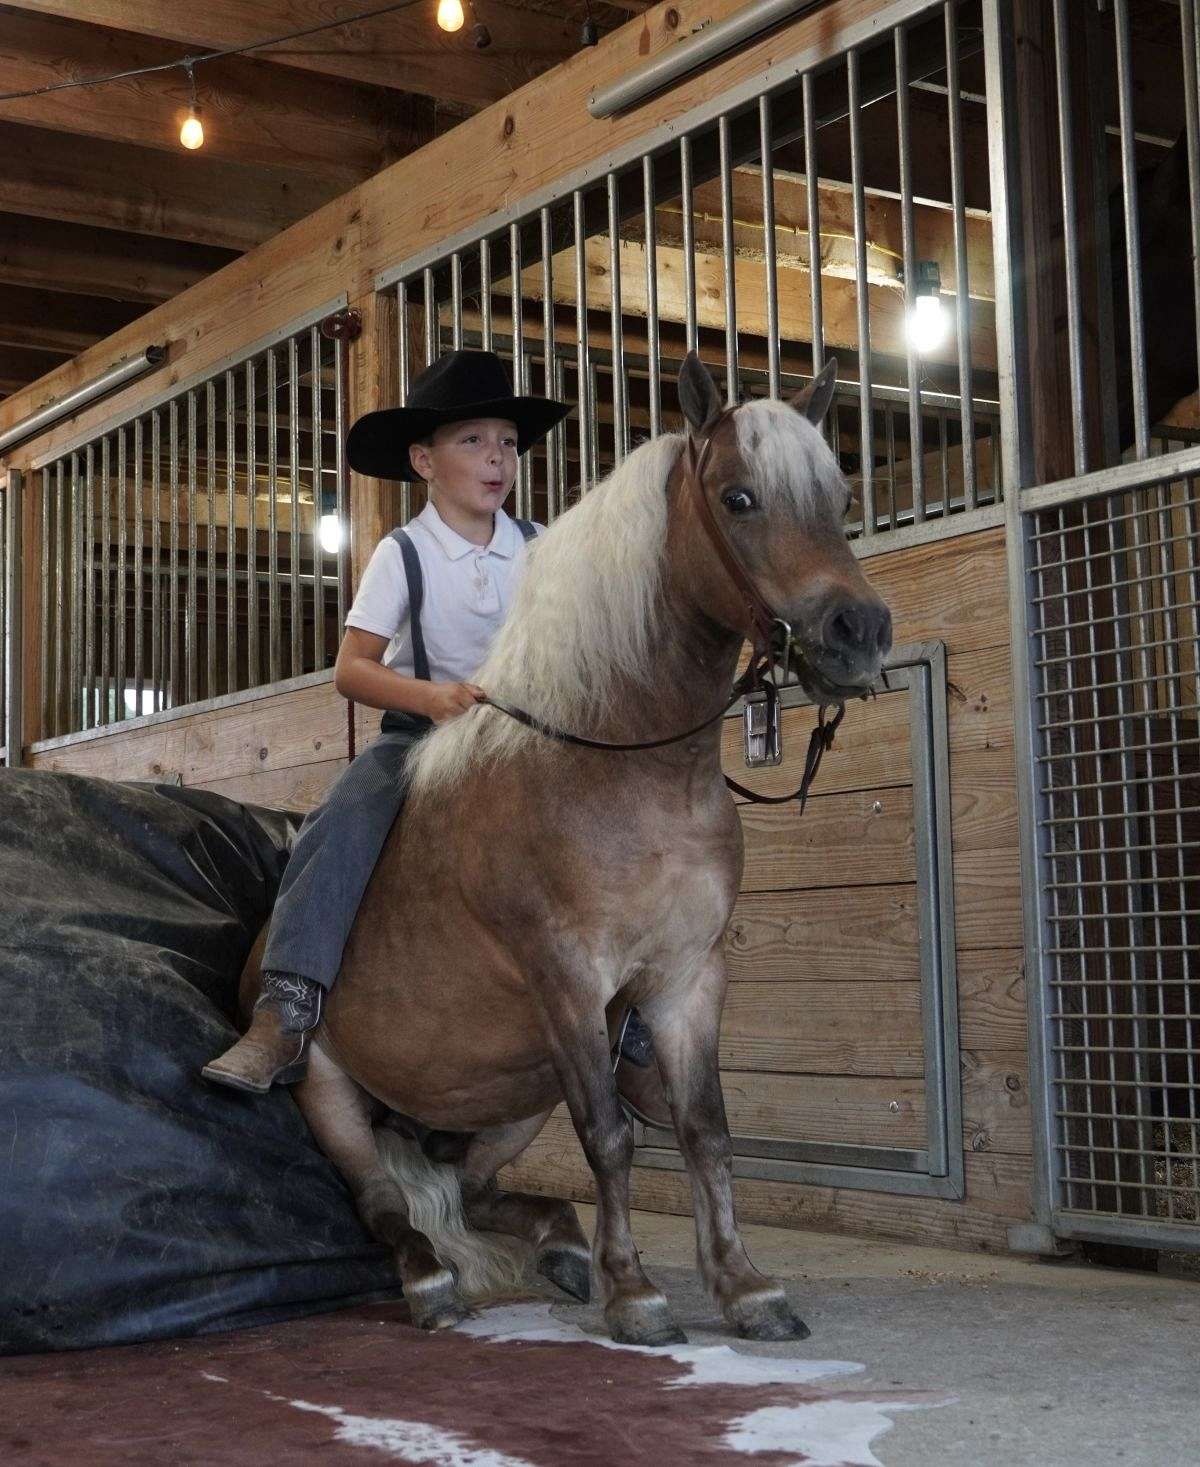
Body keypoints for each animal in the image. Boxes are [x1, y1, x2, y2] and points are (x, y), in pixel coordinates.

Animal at [266, 351, 892, 1347]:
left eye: (837, 494)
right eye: (740, 497)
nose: (859, 634)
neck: (625, 768)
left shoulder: (687, 980)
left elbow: (705, 1129)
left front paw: (744, 1286)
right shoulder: (567, 978)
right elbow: (611, 1135)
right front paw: (635, 1292)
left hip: (511, 1100)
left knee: (471, 1187)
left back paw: (561, 1247)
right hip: (331, 1094)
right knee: (384, 1205)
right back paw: (434, 1280)